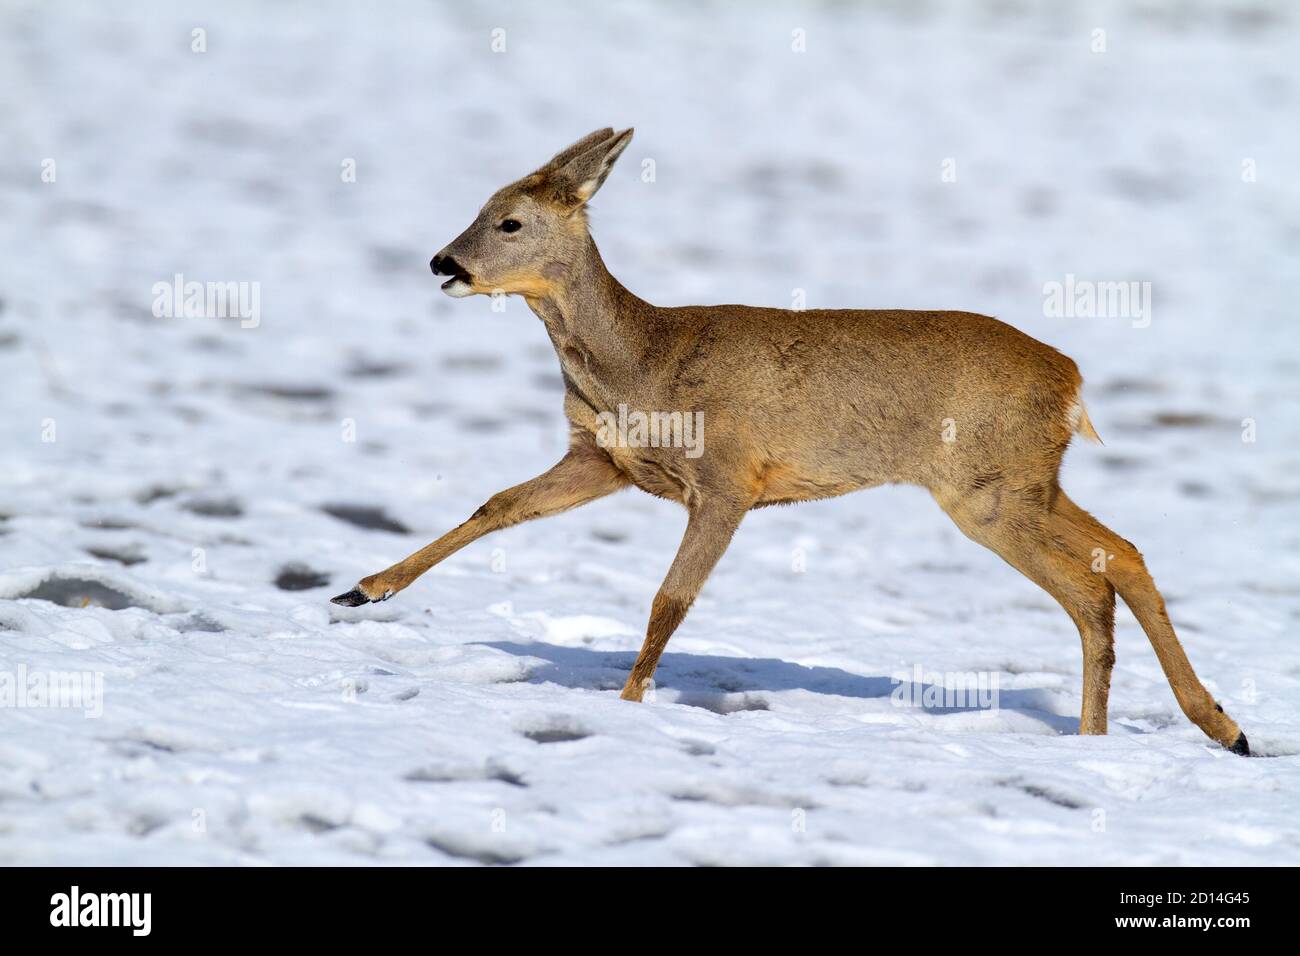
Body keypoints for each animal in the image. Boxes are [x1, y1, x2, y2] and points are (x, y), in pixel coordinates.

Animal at [332, 127, 1249, 755]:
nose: (442, 262)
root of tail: (1073, 379)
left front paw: (626, 708)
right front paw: (361, 590)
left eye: (511, 222)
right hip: (1025, 483)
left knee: (1090, 585)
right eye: (483, 209)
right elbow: (496, 504)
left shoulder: (728, 479)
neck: (641, 359)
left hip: (986, 492)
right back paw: (1220, 726)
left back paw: (1100, 739)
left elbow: (670, 599)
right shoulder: (605, 460)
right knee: (1124, 552)